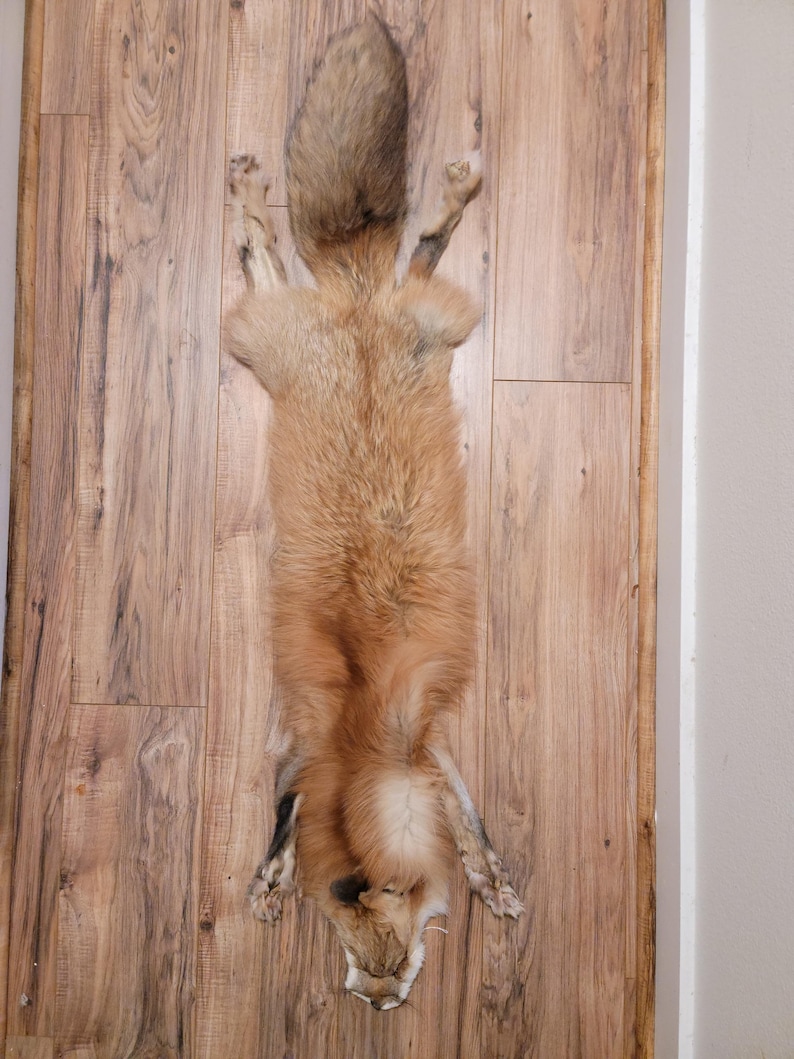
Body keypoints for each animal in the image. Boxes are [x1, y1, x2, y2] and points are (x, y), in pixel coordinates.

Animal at [224, 15, 523, 1010]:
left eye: (394, 957)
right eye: (364, 971)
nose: (385, 1006)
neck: (361, 730)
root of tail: (354, 304)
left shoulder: (421, 744)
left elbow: (468, 824)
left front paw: (493, 878)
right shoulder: (328, 747)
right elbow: (286, 812)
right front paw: (272, 875)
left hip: (404, 325)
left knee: (396, 246)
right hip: (301, 339)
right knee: (283, 261)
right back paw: (253, 195)